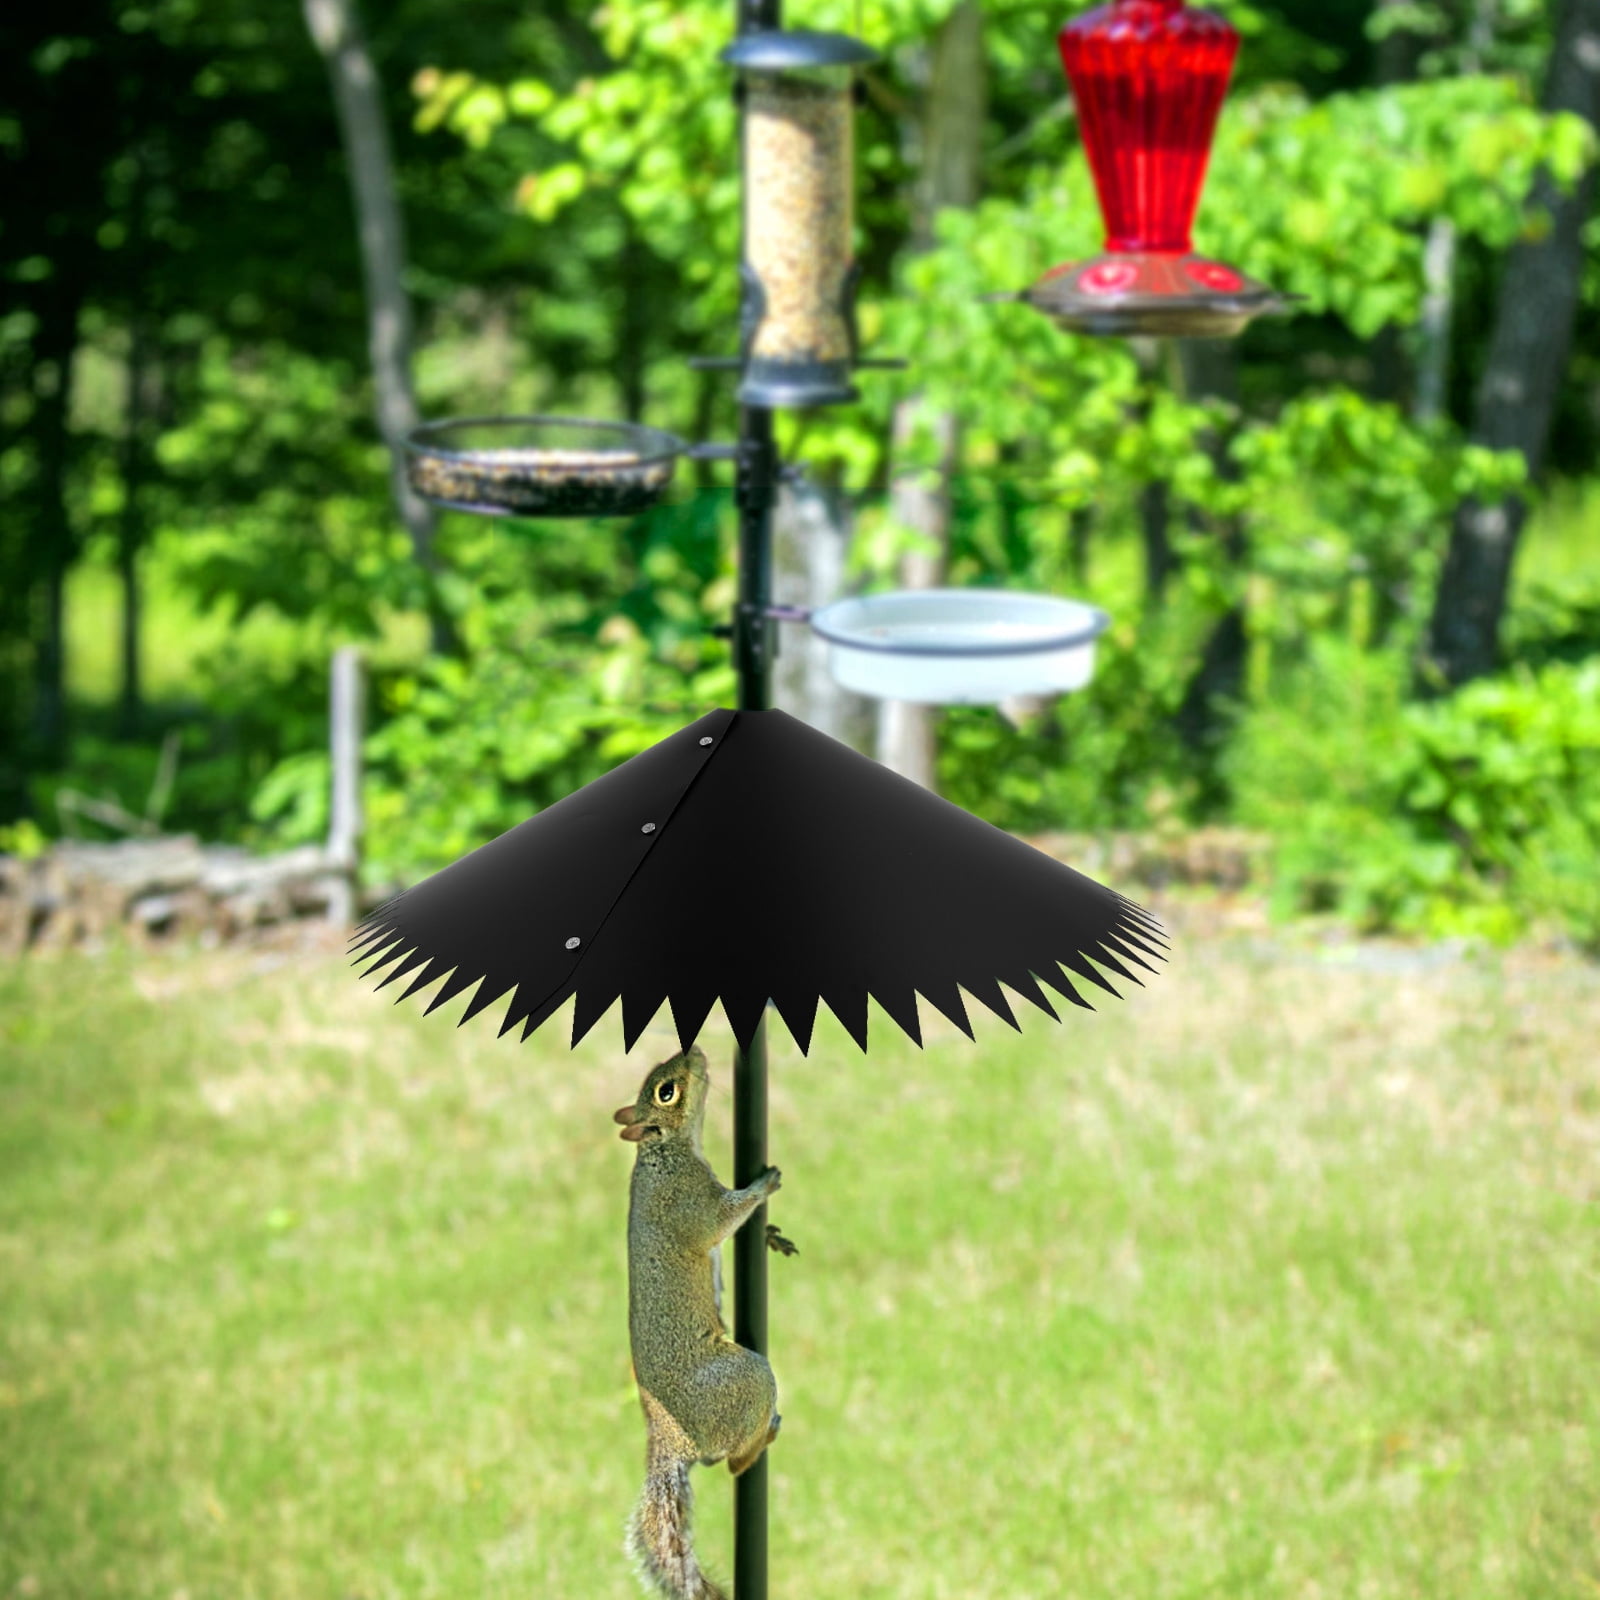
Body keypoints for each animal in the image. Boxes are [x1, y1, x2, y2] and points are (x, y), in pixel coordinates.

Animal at [613, 1046, 796, 1600]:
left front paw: (771, 1233)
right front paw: (762, 1187)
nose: (694, 1051)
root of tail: (673, 1437)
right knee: (729, 1461)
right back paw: (762, 1438)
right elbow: (720, 1221)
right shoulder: (689, 1202)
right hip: (744, 1380)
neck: (664, 1151)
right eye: (666, 1091)